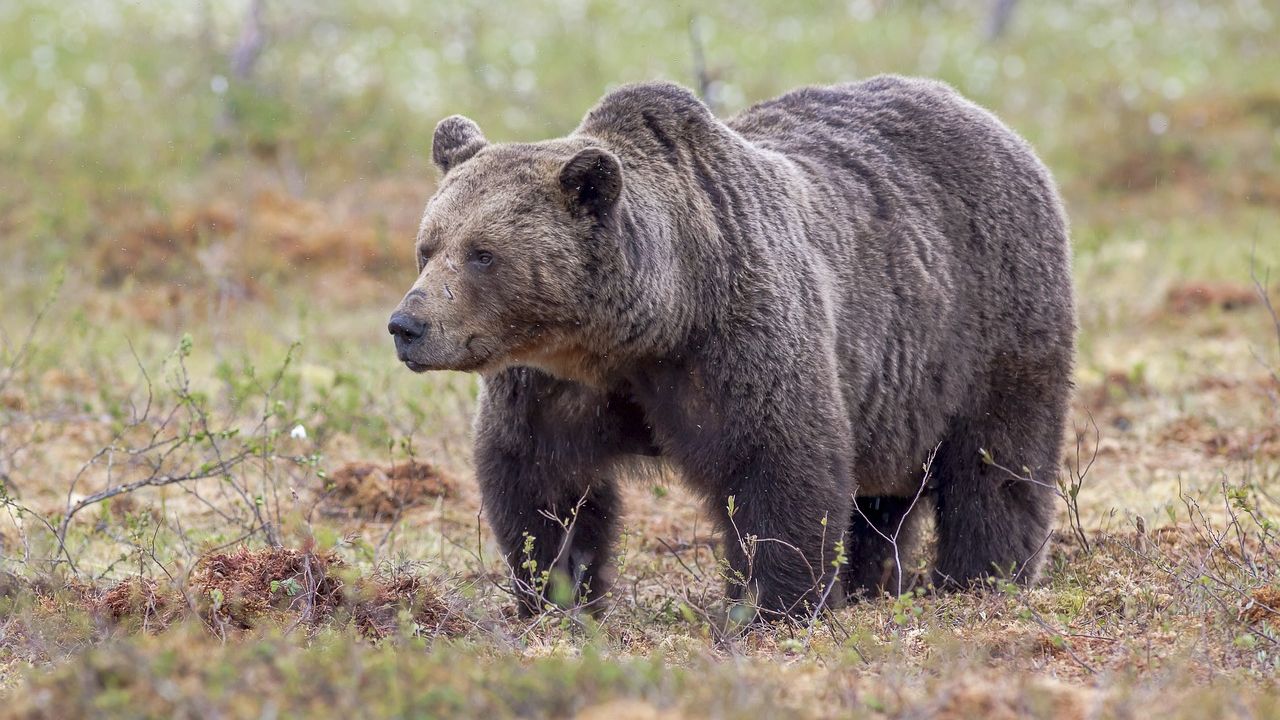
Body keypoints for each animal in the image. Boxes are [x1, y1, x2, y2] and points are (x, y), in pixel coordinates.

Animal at [388, 75, 1075, 620]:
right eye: (428, 246)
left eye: (482, 254)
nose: (406, 325)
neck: (644, 329)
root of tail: (988, 118)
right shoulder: (554, 384)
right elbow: (541, 483)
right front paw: (556, 594)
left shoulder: (735, 339)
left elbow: (779, 467)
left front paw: (773, 604)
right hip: (895, 393)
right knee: (880, 501)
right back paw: (870, 584)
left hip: (991, 317)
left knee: (996, 464)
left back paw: (982, 580)